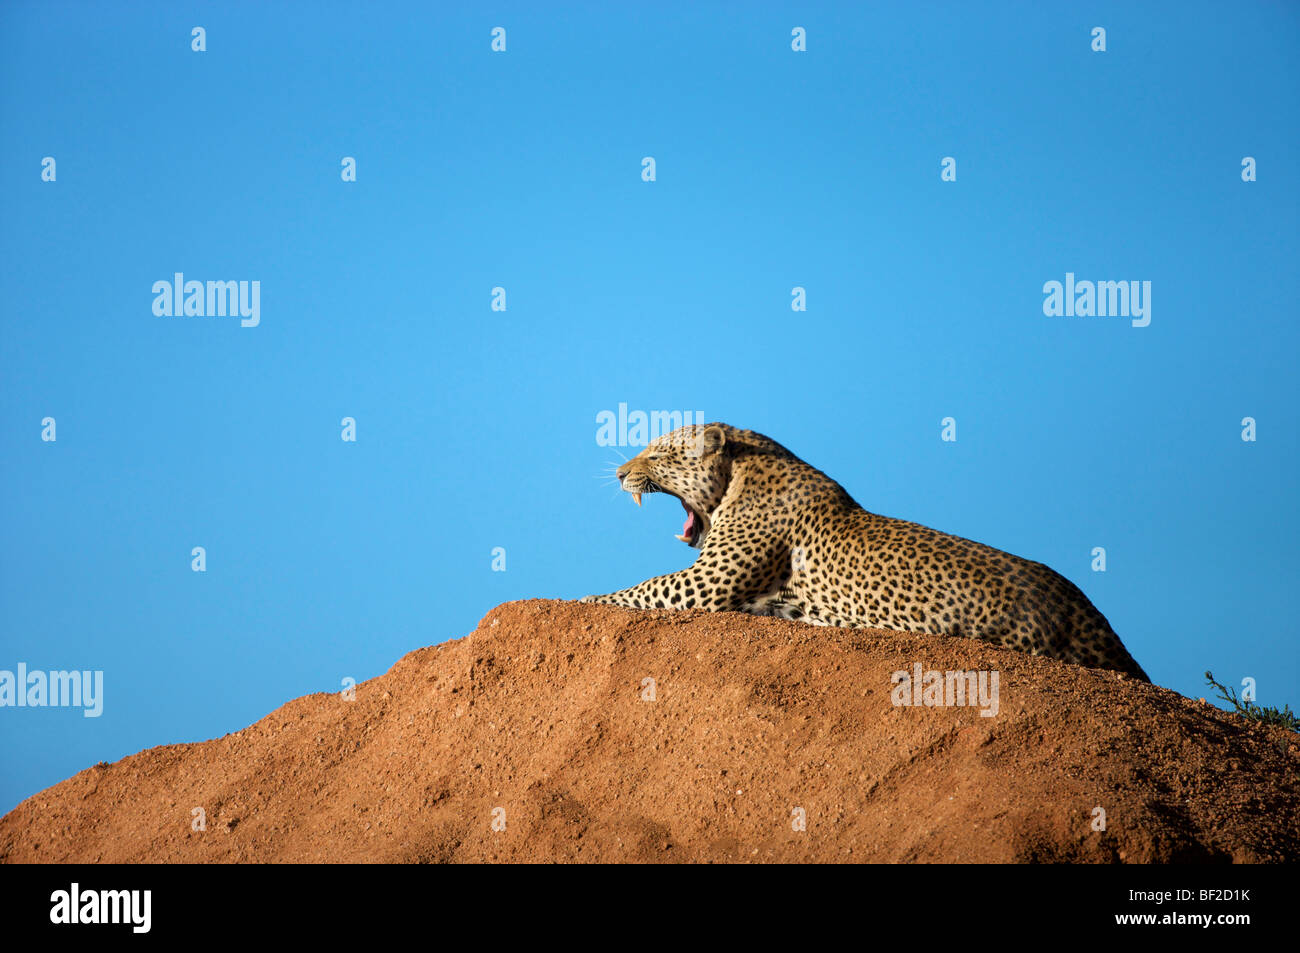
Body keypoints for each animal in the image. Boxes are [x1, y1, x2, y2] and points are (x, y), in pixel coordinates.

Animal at [581, 422, 1149, 681]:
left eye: (658, 453)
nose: (620, 473)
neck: (738, 469)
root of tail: (1086, 614)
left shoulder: (707, 583)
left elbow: (640, 590)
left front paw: (582, 600)